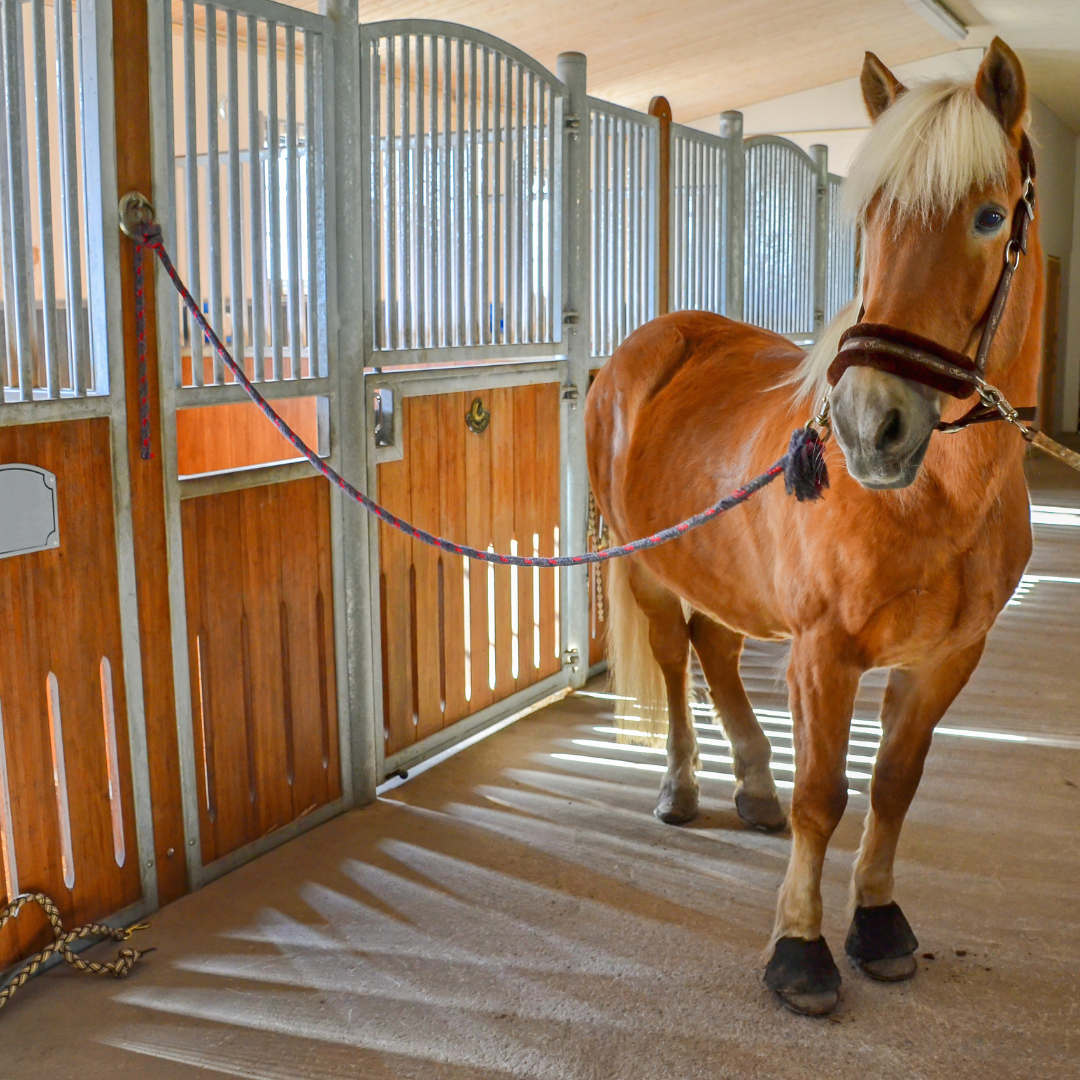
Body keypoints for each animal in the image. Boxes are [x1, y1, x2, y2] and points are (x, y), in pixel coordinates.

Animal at [585, 37, 1042, 1016]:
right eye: (867, 218)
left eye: (990, 217)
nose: (872, 426)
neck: (932, 501)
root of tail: (649, 342)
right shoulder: (823, 656)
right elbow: (823, 798)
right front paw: (799, 951)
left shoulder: (948, 657)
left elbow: (894, 785)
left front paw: (879, 924)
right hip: (647, 569)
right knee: (676, 660)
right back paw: (682, 786)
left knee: (716, 651)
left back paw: (750, 785)